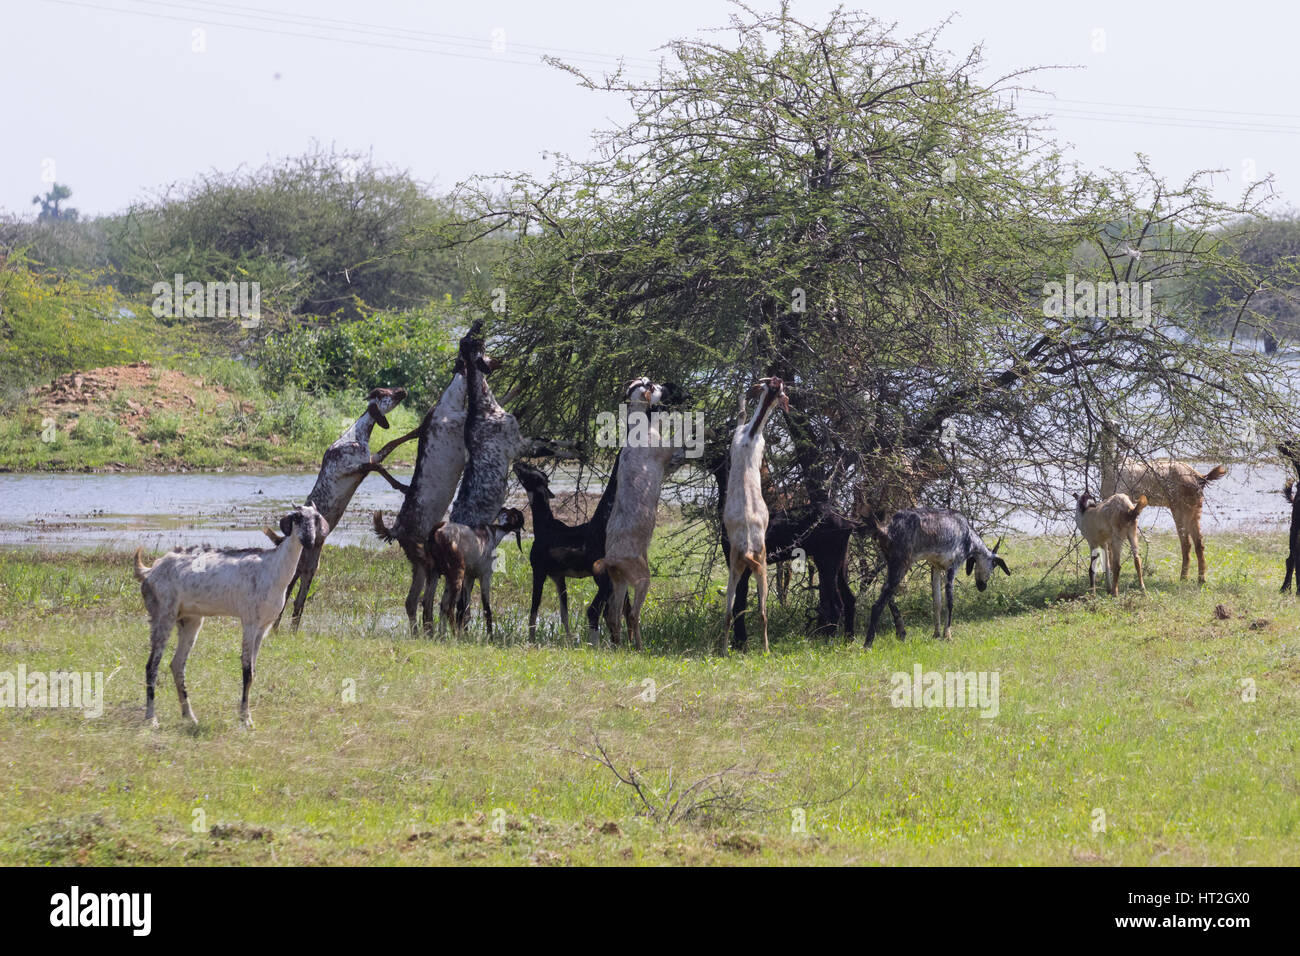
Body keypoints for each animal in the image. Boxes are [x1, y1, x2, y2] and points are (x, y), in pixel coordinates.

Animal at [135, 504, 328, 728]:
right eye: (297, 517)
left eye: (315, 518)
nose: (309, 540)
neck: (273, 570)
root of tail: (150, 571)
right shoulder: (250, 621)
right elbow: (246, 670)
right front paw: (246, 719)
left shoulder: (264, 626)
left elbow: (253, 671)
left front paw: (246, 716)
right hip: (163, 614)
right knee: (151, 666)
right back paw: (151, 718)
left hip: (191, 620)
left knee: (177, 664)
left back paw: (190, 716)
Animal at [276, 387, 409, 630]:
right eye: (386, 393)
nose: (403, 390)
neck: (355, 437)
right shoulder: (353, 467)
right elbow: (380, 467)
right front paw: (403, 486)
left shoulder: (368, 460)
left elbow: (393, 443)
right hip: (296, 570)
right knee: (287, 598)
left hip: (309, 570)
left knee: (298, 604)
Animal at [420, 508, 525, 638]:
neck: (494, 532)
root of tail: (438, 530)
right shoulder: (485, 577)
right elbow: (486, 610)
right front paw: (490, 636)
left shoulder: (469, 578)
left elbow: (466, 610)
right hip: (457, 574)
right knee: (448, 607)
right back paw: (455, 636)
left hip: (435, 575)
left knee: (430, 604)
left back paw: (436, 635)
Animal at [864, 508, 1009, 647]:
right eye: (994, 564)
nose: (982, 586)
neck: (968, 535)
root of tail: (887, 530)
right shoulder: (952, 567)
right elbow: (950, 602)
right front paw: (948, 635)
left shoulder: (936, 567)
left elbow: (937, 602)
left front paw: (936, 634)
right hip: (900, 565)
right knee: (878, 604)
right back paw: (868, 644)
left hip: (890, 564)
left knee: (888, 595)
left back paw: (901, 632)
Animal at [1099, 428, 1227, 583]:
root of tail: (1199, 477)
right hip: (1194, 511)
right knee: (1199, 544)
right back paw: (1200, 579)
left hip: (1180, 510)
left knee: (1186, 544)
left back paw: (1183, 578)